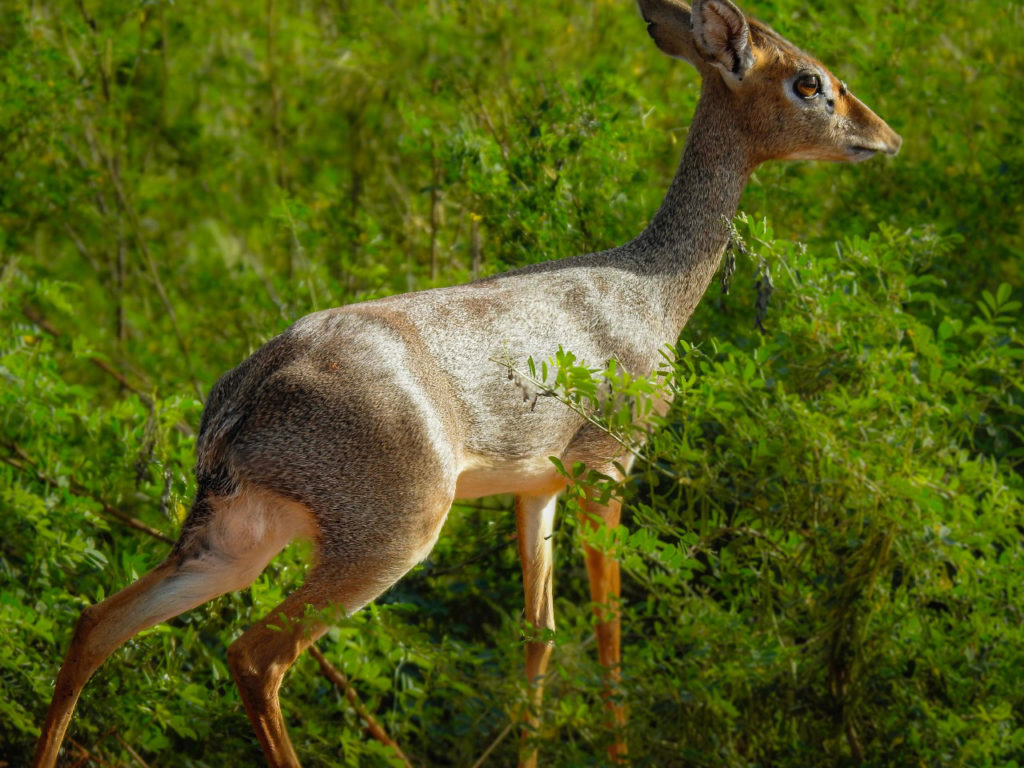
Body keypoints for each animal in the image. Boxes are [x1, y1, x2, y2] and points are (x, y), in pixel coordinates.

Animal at [33, 0, 901, 765]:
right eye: (810, 82)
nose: (885, 138)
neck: (651, 288)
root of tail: (241, 397)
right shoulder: (606, 465)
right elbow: (610, 633)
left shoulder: (534, 485)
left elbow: (538, 636)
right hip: (390, 536)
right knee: (255, 656)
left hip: (233, 539)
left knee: (95, 623)